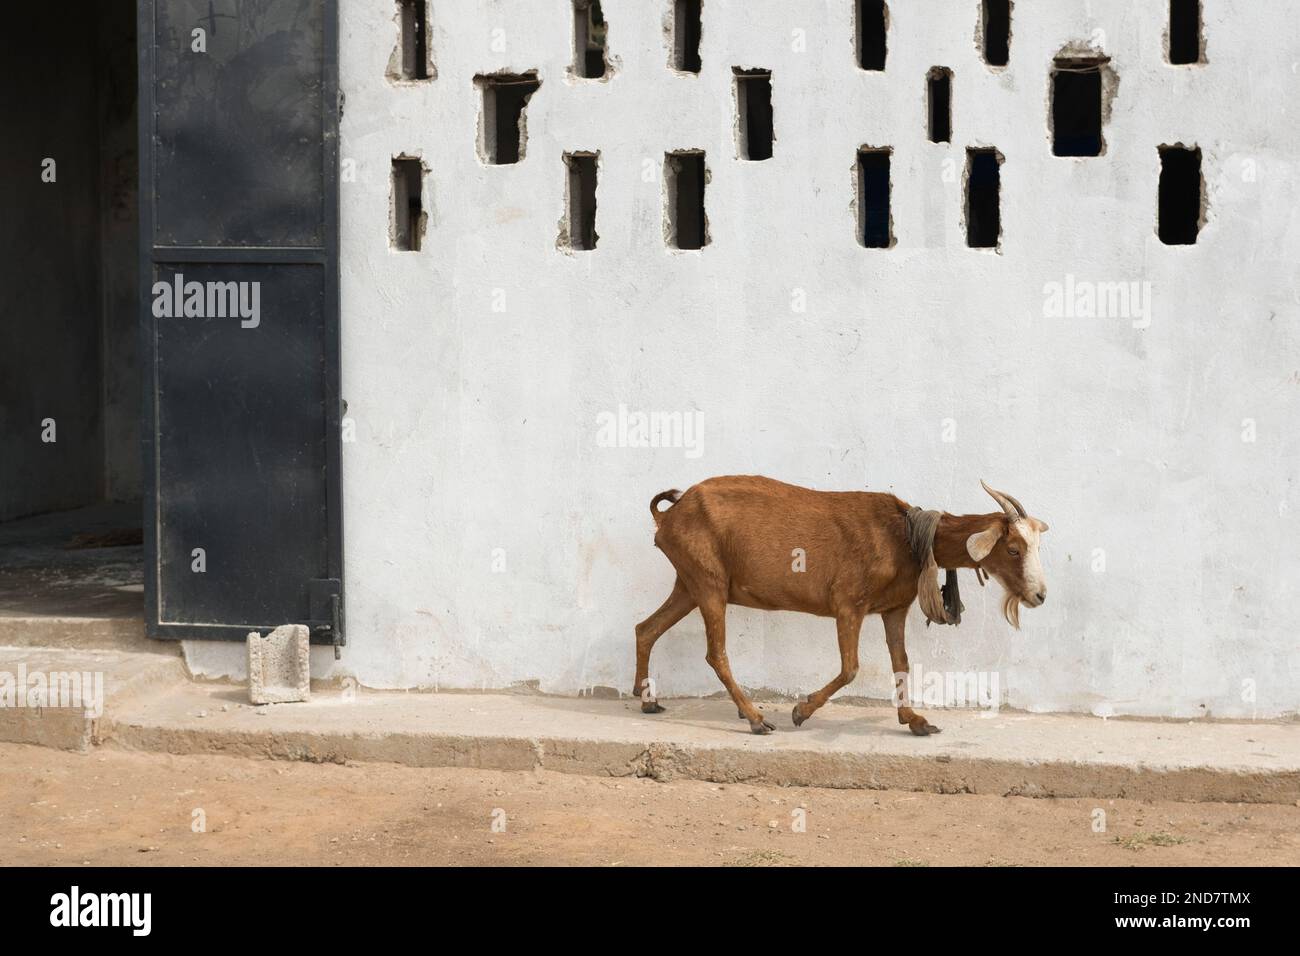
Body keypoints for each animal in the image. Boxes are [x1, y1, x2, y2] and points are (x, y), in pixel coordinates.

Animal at [633, 476, 1049, 735]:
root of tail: (667, 516)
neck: (905, 537)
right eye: (1014, 549)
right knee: (715, 653)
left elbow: (901, 661)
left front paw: (915, 721)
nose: (1039, 595)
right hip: (709, 582)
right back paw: (754, 718)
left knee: (646, 628)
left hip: (689, 583)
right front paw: (800, 711)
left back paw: (647, 699)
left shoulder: (894, 608)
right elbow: (851, 669)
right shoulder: (849, 603)